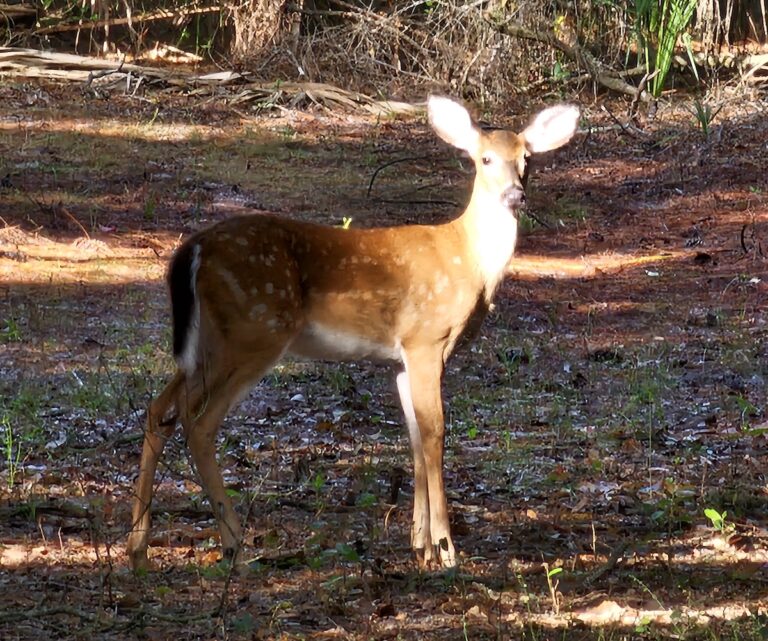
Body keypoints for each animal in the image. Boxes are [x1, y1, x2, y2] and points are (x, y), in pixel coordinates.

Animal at [127, 96, 579, 571]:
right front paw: (445, 547)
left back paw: (138, 547)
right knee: (199, 423)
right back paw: (233, 541)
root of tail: (191, 250)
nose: (515, 195)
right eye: (485, 158)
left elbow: (414, 439)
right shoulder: (425, 340)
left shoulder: (401, 360)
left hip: (209, 341)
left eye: (527, 159)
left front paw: (419, 545)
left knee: (160, 409)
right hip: (255, 330)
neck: (470, 261)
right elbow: (435, 434)